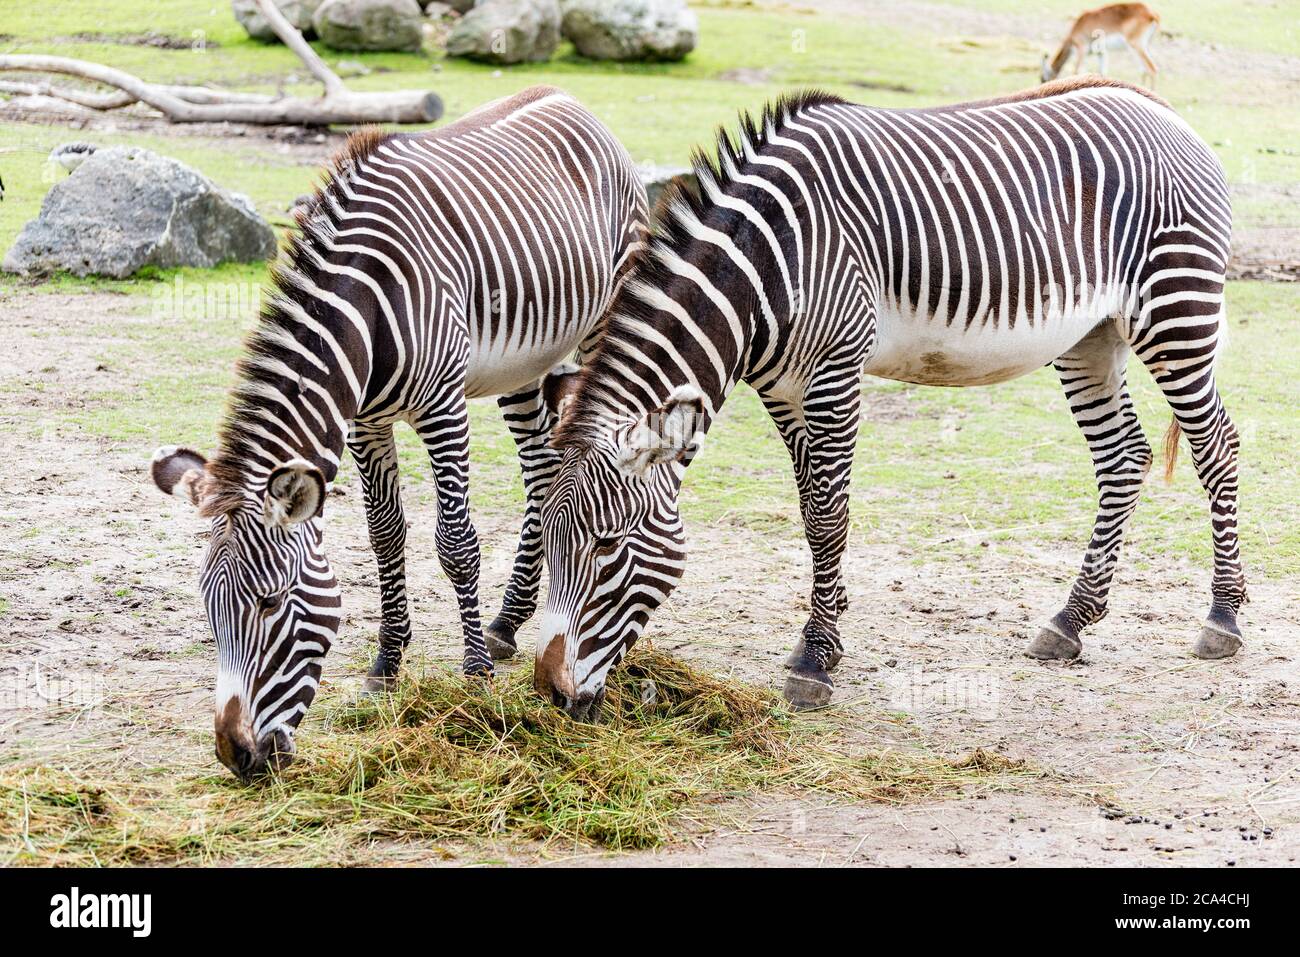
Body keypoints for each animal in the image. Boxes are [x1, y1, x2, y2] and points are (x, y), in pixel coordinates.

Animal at [150, 86, 646, 779]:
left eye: (272, 603)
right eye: (207, 607)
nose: (236, 755)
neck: (365, 306)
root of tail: (564, 96)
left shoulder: (443, 406)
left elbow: (455, 542)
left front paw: (473, 678)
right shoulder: (364, 421)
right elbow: (385, 535)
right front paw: (388, 663)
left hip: (601, 322)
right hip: (525, 364)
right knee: (543, 470)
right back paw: (508, 621)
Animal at [537, 77, 1246, 718]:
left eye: (608, 546)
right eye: (542, 536)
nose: (551, 693)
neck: (767, 265)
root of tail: (1162, 108)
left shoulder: (835, 367)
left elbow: (829, 512)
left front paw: (814, 660)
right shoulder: (781, 387)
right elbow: (811, 509)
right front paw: (828, 631)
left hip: (1176, 310)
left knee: (1217, 446)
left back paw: (1222, 618)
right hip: (1091, 336)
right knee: (1123, 456)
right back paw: (1070, 620)